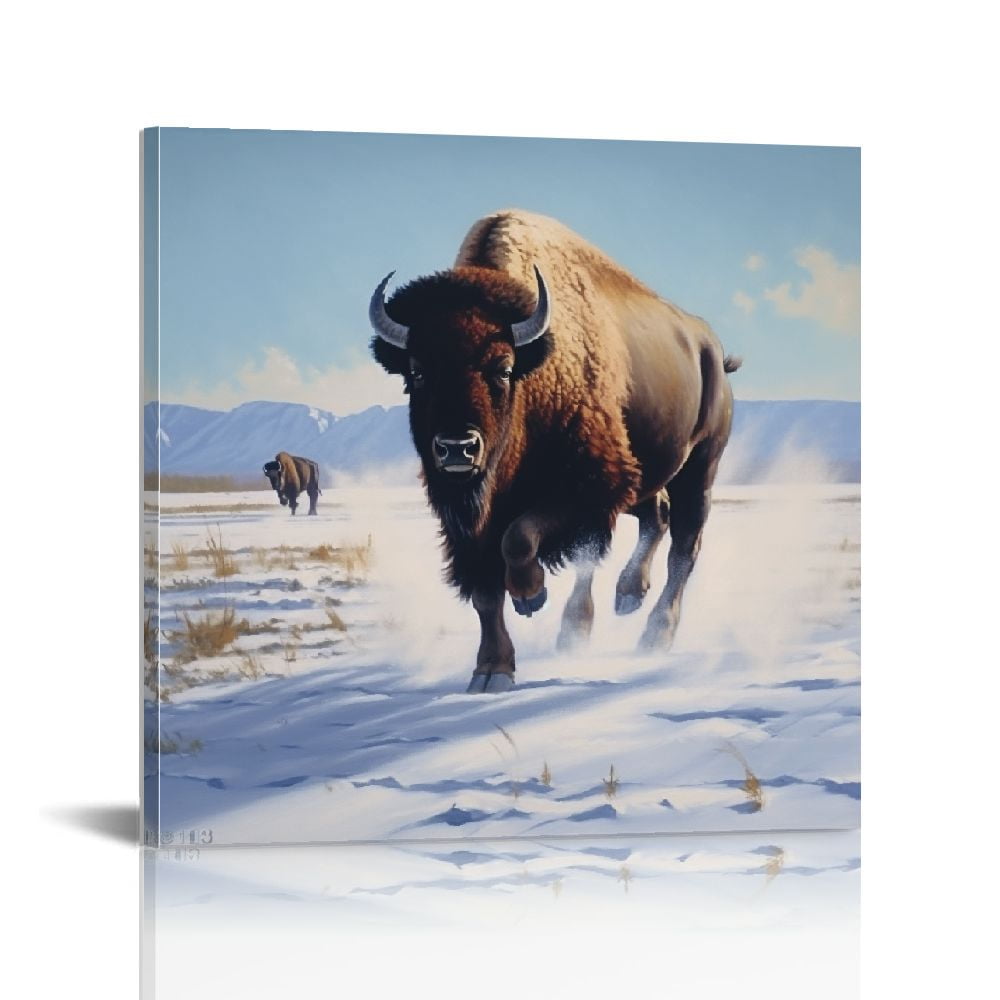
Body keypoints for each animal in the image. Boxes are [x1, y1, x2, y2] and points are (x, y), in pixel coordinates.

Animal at [370, 210, 741, 692]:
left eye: (503, 368)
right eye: (416, 372)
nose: (457, 449)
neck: (537, 366)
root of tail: (709, 346)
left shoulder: (586, 490)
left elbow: (522, 540)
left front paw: (531, 594)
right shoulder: (468, 523)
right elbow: (485, 592)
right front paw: (490, 671)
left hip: (699, 469)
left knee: (684, 544)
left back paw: (651, 635)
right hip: (646, 476)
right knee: (654, 519)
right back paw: (625, 597)